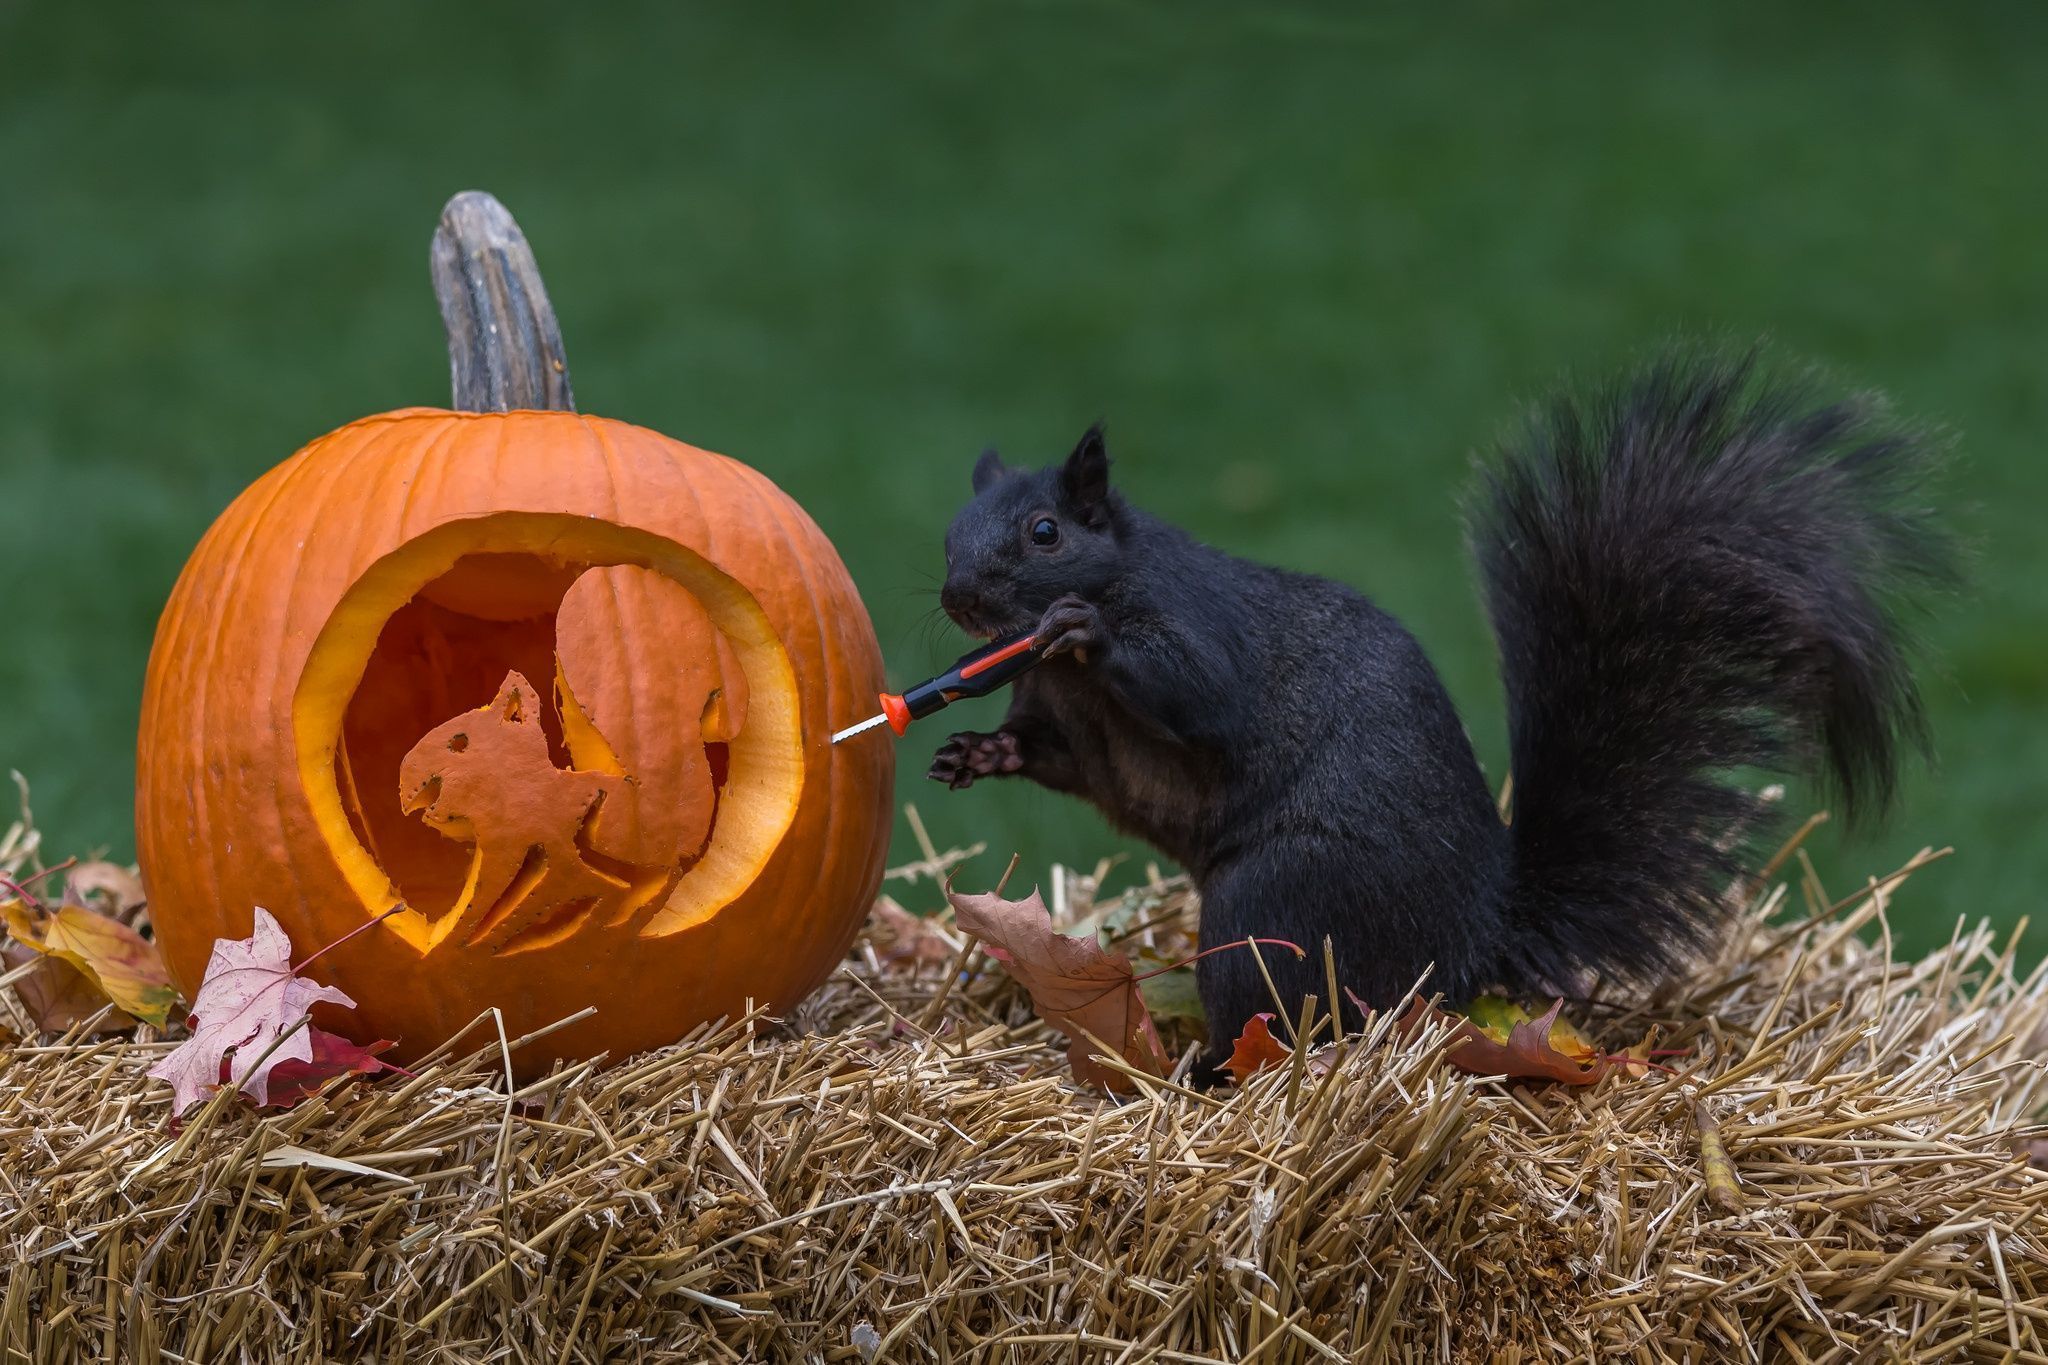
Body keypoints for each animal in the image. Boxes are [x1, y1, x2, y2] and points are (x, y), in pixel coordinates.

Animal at [928, 345, 1954, 1079]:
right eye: (948, 531)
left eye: (1045, 532)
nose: (957, 597)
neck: (1070, 674)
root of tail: (1472, 938)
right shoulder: (1064, 723)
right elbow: (1049, 753)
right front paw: (971, 753)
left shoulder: (1201, 624)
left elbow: (1198, 687)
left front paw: (1084, 625)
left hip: (1277, 901)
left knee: (1286, 1017)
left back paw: (1211, 1068)